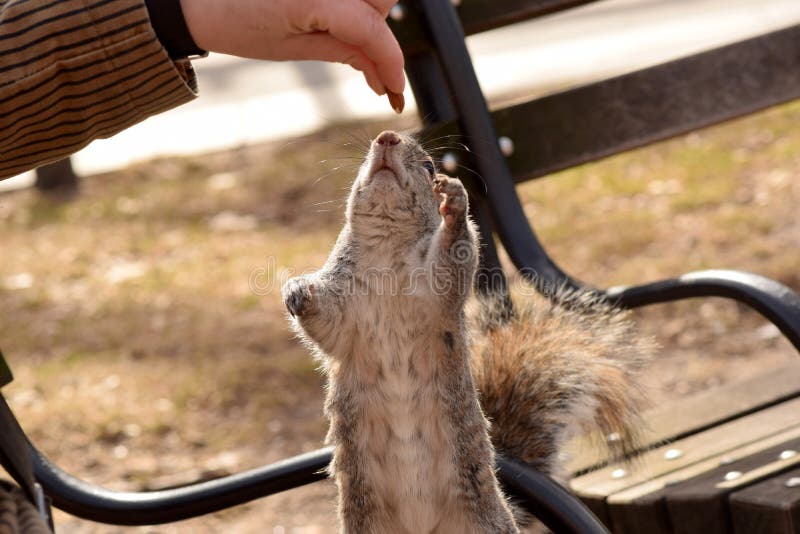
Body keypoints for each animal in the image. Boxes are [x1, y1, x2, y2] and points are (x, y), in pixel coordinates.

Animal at [282, 130, 652, 533]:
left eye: (430, 167)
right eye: (365, 158)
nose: (387, 137)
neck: (386, 244)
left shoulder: (437, 288)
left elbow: (453, 259)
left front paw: (456, 205)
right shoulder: (344, 306)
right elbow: (325, 322)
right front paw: (296, 290)